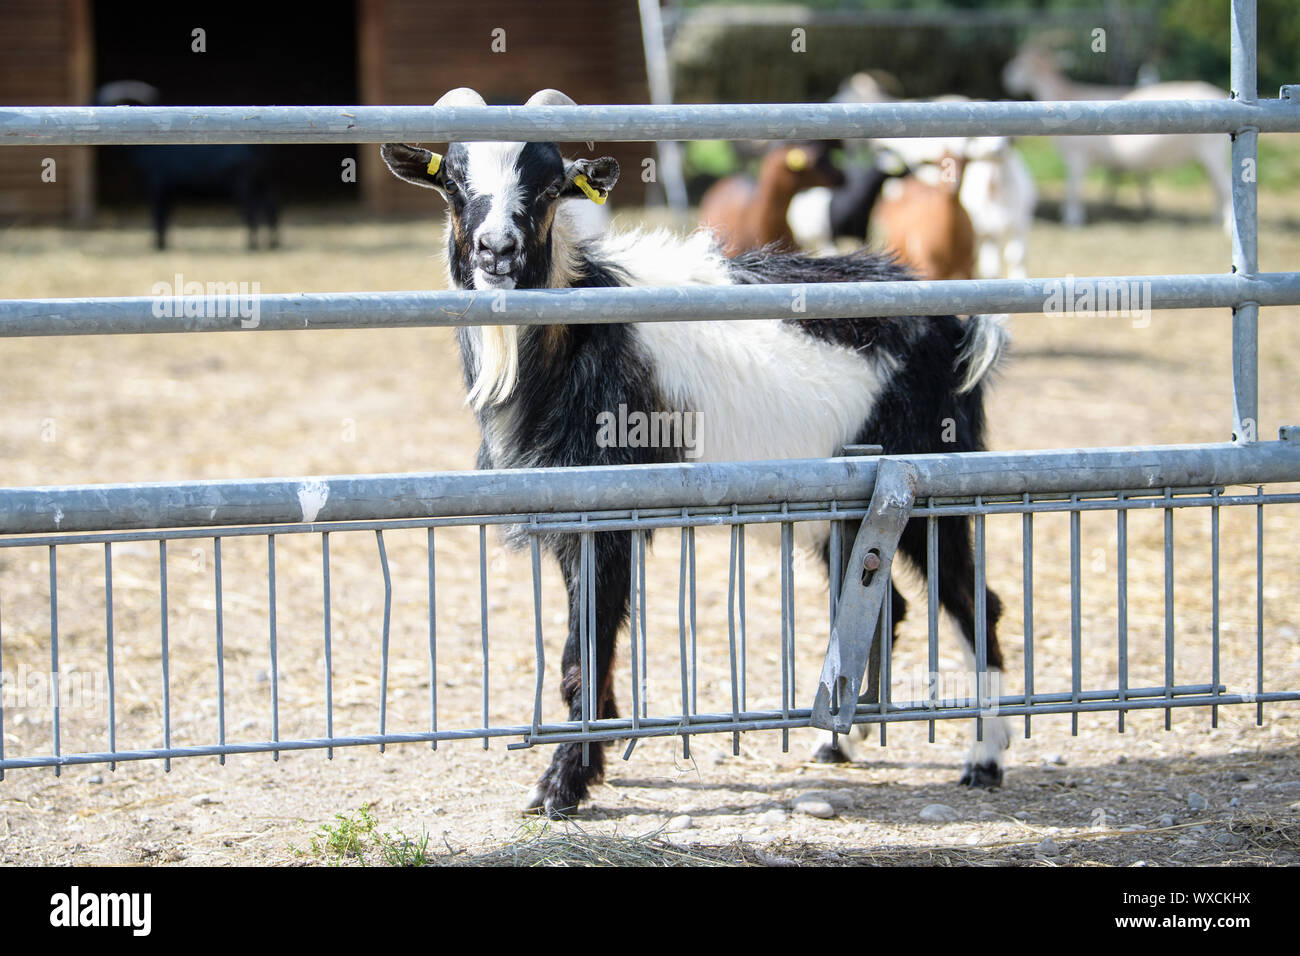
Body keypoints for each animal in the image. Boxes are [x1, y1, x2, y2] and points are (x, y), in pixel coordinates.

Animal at [1001, 43, 1231, 229]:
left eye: (1023, 62)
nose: (1006, 78)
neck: (1067, 95)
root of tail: (1222, 95)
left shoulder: (1077, 157)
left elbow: (1073, 188)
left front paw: (1073, 220)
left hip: (1214, 153)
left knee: (1225, 185)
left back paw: (1227, 226)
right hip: (1203, 159)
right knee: (1216, 188)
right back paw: (1215, 220)